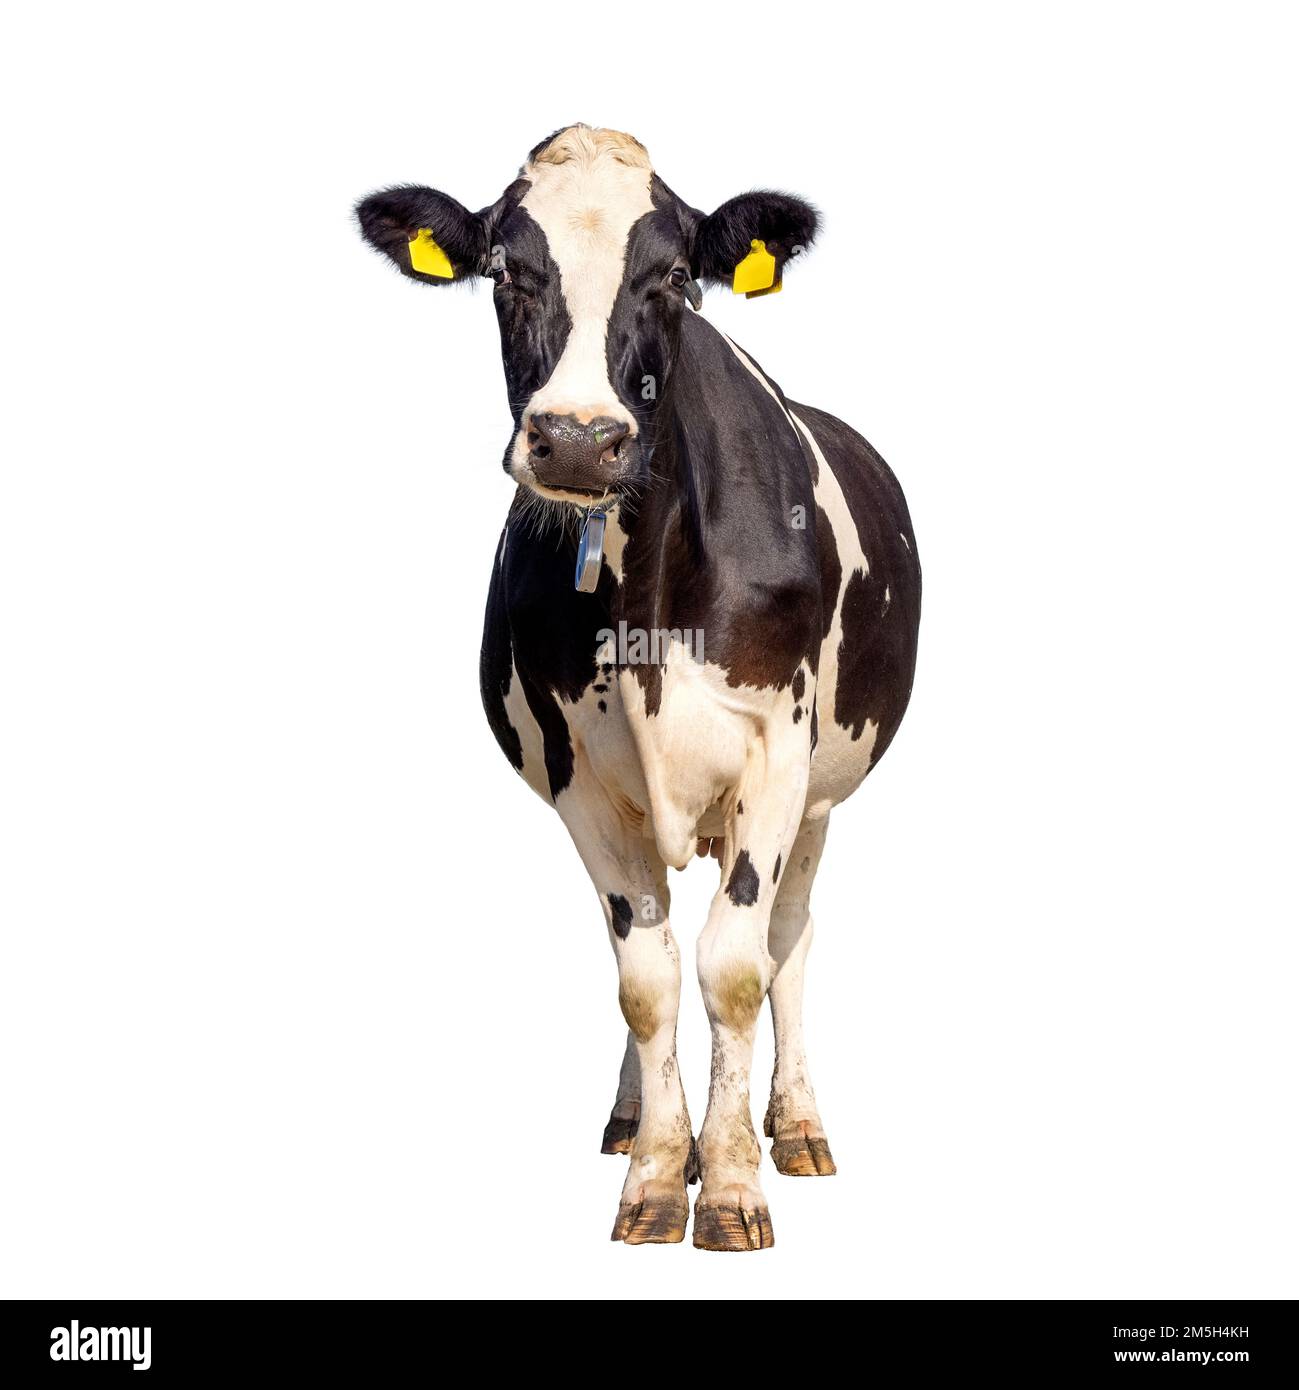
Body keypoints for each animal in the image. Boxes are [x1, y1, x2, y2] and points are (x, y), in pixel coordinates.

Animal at [356, 125, 921, 1251]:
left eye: (672, 278)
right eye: (505, 273)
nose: (578, 438)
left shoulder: (776, 759)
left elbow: (738, 966)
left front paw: (736, 1181)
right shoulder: (582, 778)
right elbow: (649, 975)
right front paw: (662, 1174)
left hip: (823, 796)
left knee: (791, 939)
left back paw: (795, 1123)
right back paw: (635, 1120)